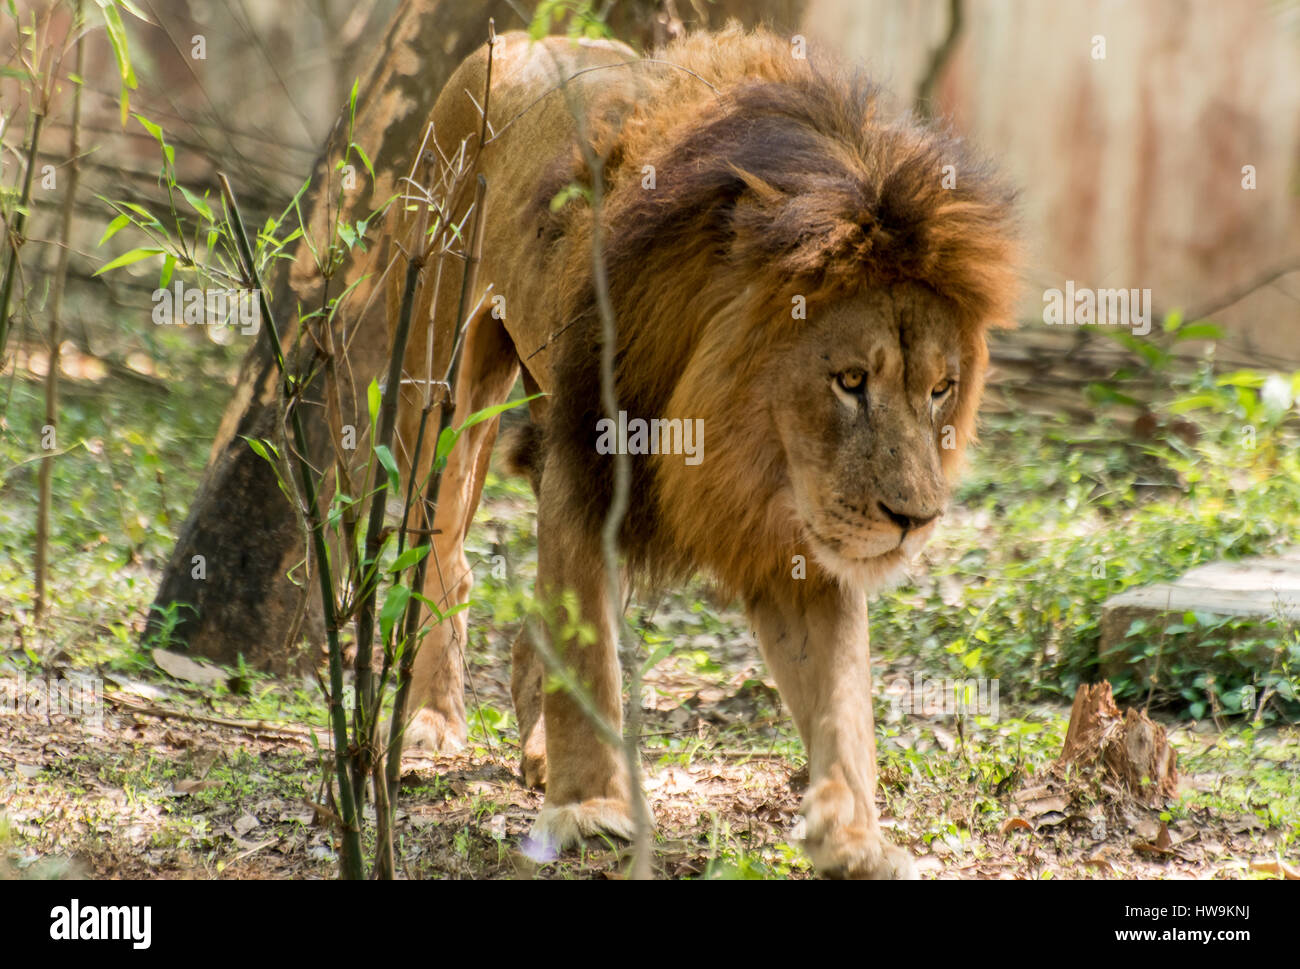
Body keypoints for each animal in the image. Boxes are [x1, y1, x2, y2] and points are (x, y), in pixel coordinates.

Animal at [388, 25, 1018, 879]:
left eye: (940, 389)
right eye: (851, 380)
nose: (912, 520)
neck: (743, 449)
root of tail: (514, 39)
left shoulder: (803, 531)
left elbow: (842, 695)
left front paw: (855, 836)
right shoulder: (588, 461)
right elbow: (588, 650)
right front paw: (592, 807)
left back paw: (534, 748)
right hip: (447, 381)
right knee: (442, 554)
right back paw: (426, 723)